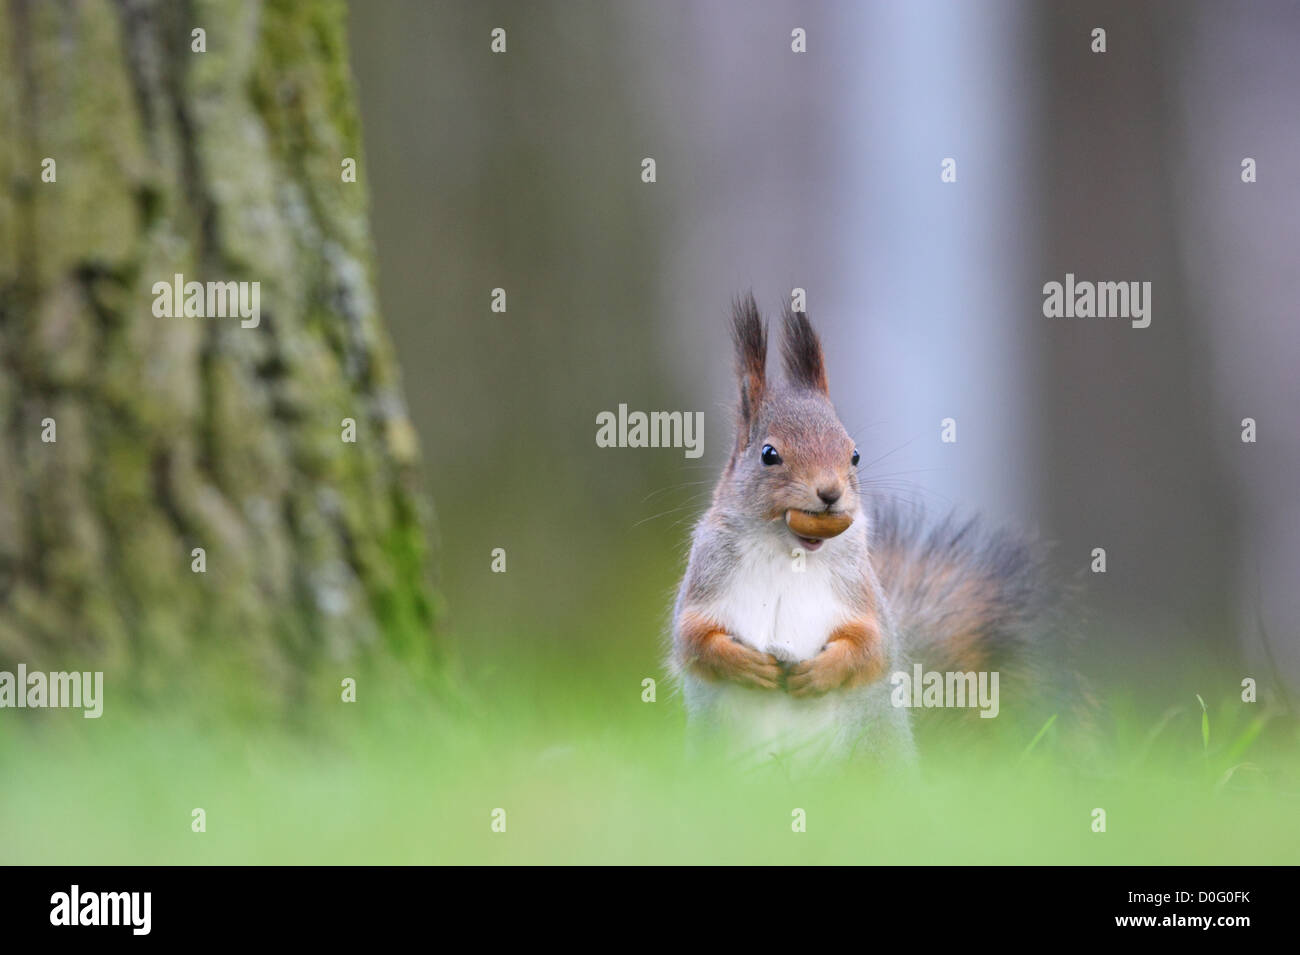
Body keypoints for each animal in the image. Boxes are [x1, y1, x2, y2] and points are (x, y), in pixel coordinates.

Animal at [670, 294, 1075, 766]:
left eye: (855, 454)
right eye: (769, 454)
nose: (830, 493)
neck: (789, 551)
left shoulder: (861, 591)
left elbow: (873, 646)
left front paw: (821, 671)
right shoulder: (706, 576)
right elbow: (692, 640)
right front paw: (747, 665)